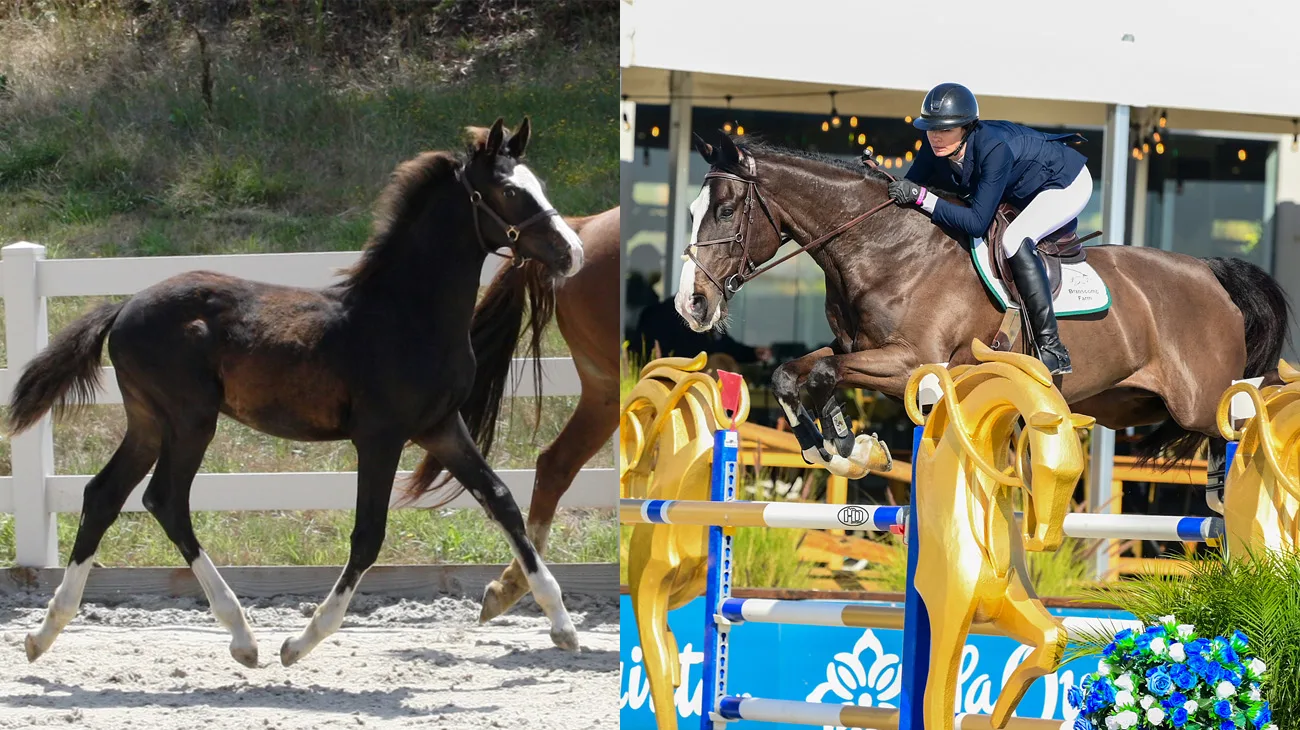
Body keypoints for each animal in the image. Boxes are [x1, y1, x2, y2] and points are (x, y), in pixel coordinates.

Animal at [7, 117, 585, 668]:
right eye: (508, 191)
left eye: (539, 184)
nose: (572, 253)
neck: (408, 314)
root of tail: (124, 306)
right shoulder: (380, 436)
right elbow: (368, 535)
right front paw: (300, 643)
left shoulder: (440, 427)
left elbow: (502, 500)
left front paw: (563, 627)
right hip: (190, 420)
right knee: (164, 500)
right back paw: (243, 638)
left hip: (148, 421)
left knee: (104, 494)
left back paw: (43, 634)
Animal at [676, 132, 1291, 478]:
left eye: (726, 211)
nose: (691, 304)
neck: (883, 246)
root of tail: (1211, 273)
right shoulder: (856, 347)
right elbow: (795, 373)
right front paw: (838, 449)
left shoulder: (912, 364)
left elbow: (826, 372)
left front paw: (847, 447)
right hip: (1132, 403)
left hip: (1202, 402)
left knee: (1249, 415)